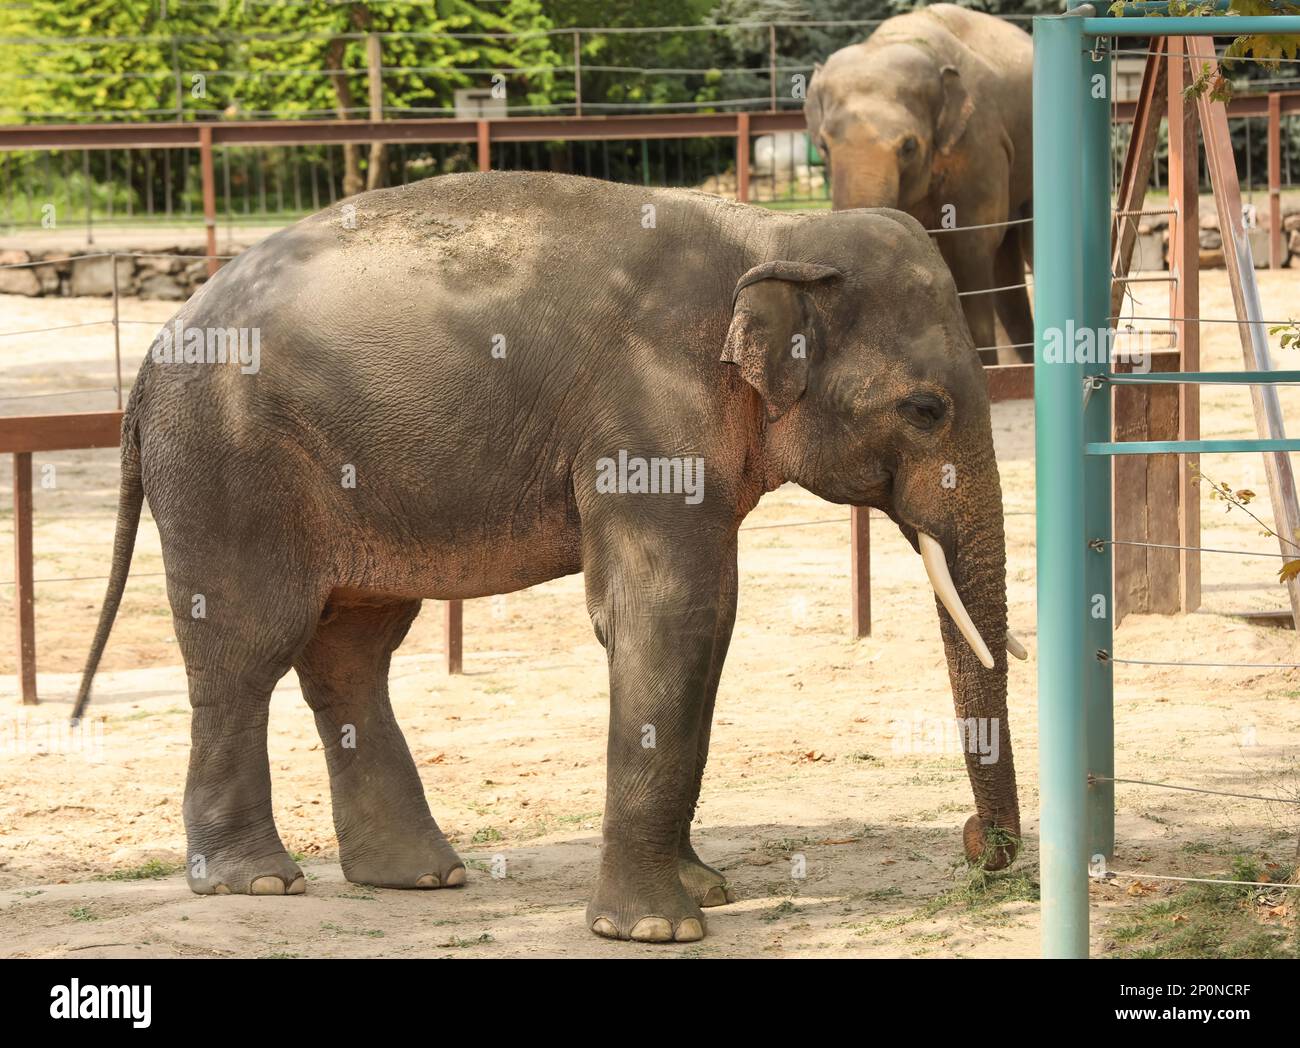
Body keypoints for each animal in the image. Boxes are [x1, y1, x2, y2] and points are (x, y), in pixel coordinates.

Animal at [76, 170, 1024, 944]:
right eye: (927, 409)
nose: (978, 850)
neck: (778, 236)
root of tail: (150, 361)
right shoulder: (645, 409)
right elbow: (670, 612)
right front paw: (657, 929)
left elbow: (709, 623)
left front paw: (704, 891)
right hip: (226, 466)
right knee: (248, 648)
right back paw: (260, 882)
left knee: (355, 648)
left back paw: (420, 876)